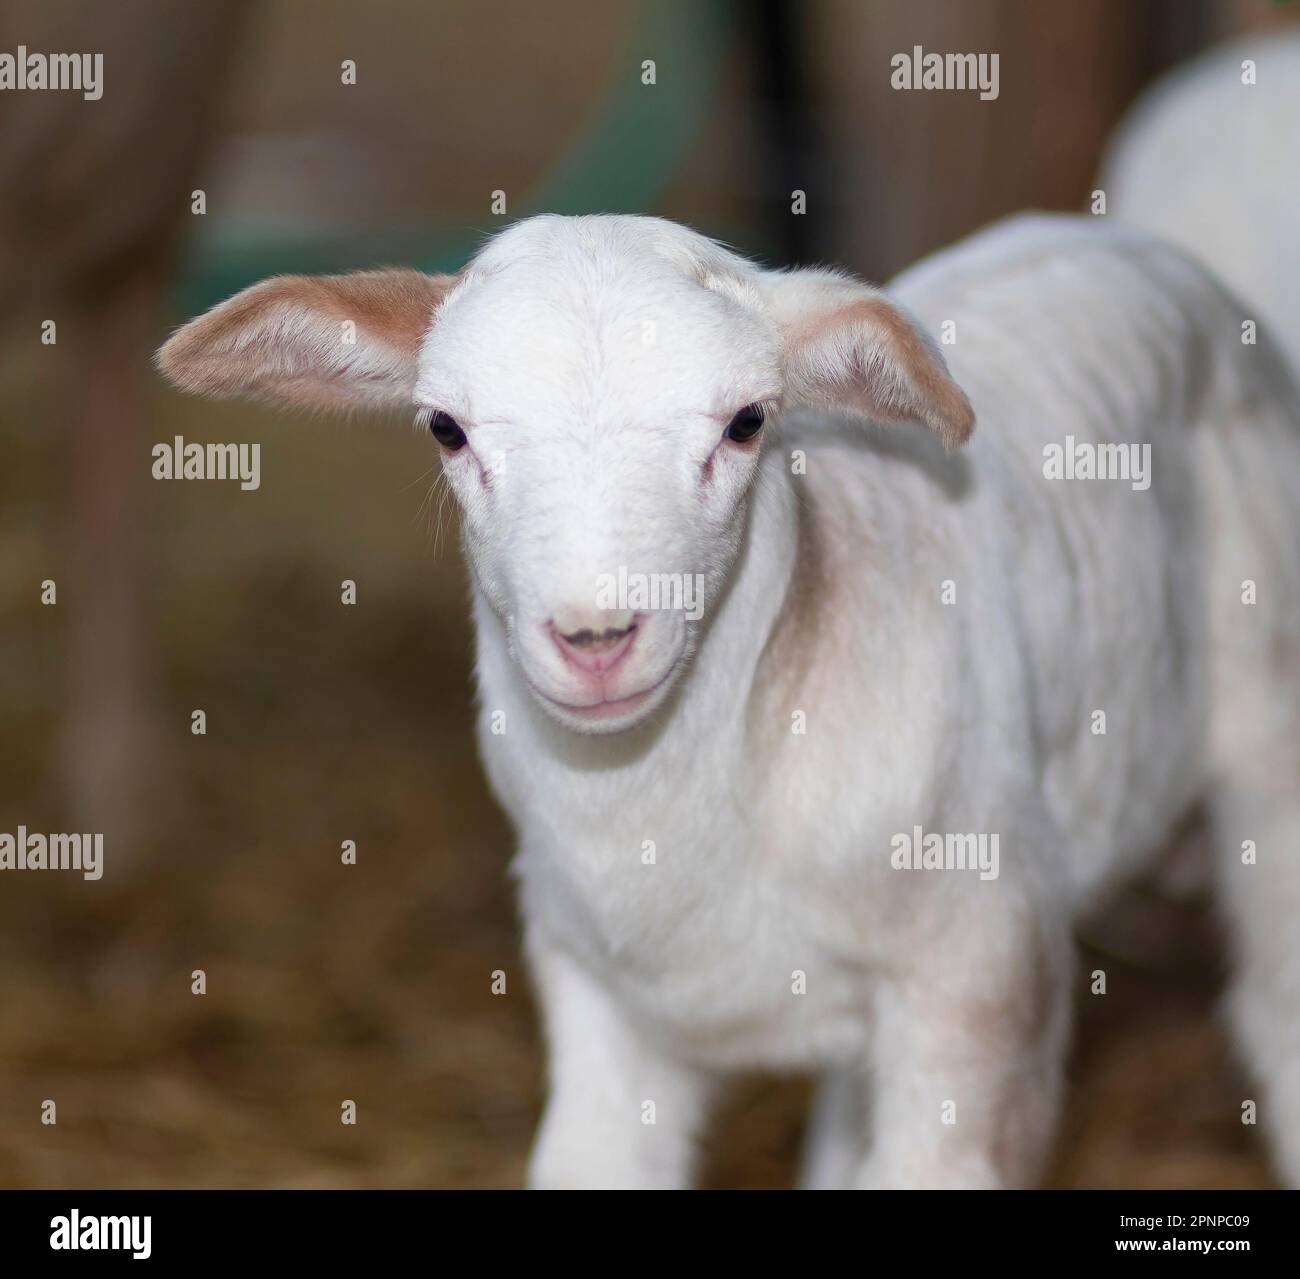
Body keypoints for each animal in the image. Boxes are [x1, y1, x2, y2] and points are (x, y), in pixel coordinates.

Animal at [157, 211, 1300, 1189]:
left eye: (748, 421)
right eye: (445, 428)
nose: (594, 637)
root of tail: (1133, 245)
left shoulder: (986, 979)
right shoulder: (595, 995)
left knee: (1272, 1005)